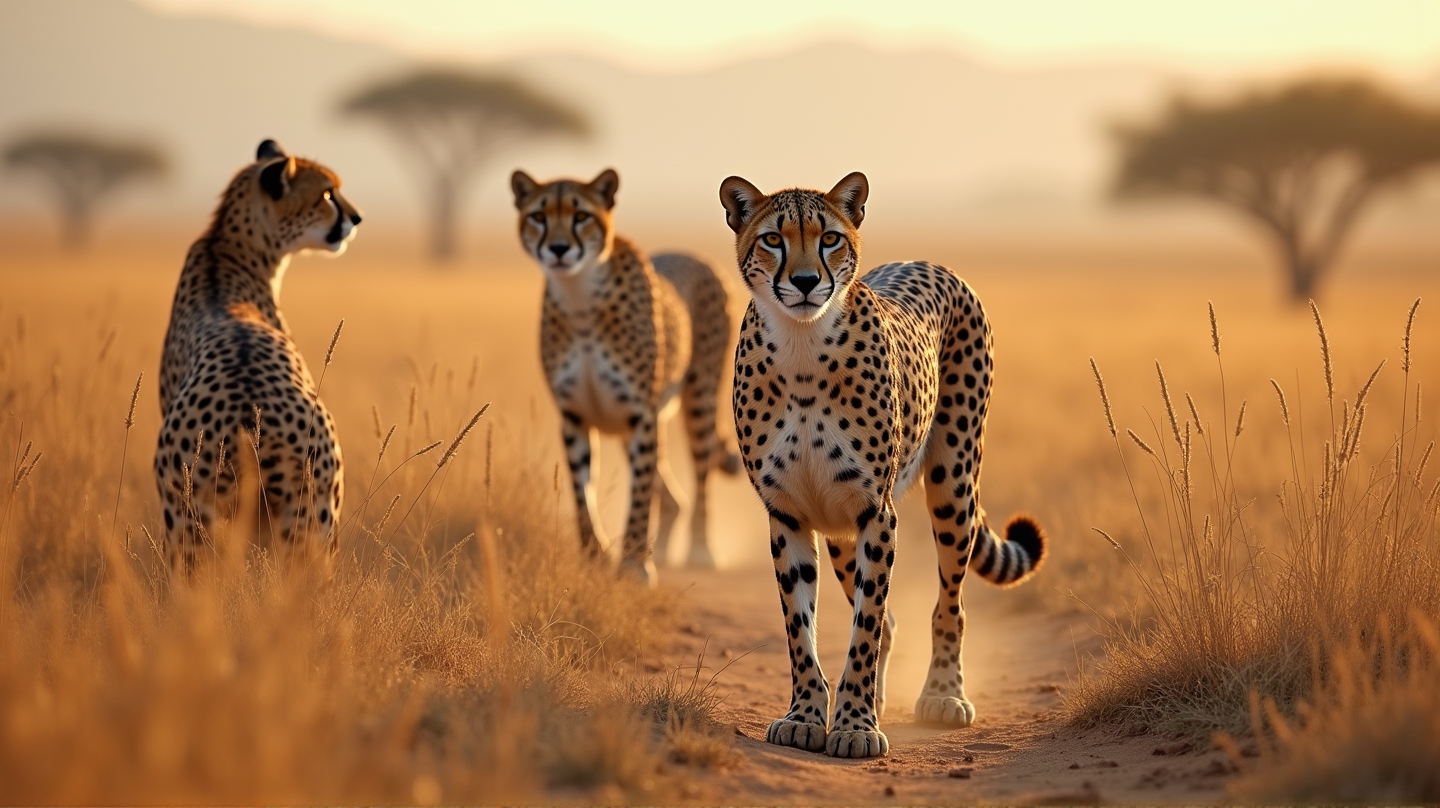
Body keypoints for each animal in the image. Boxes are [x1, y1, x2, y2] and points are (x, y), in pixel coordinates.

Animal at [154, 139, 362, 571]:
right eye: (327, 194)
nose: (357, 217)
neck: (228, 246)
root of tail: (247, 413)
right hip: (312, 518)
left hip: (193, 523)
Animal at [511, 167, 740, 584]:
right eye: (538, 216)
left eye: (580, 216)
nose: (558, 248)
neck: (580, 300)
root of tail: (695, 255)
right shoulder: (575, 416)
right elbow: (582, 494)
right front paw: (594, 559)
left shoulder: (640, 414)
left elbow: (639, 495)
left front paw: (633, 564)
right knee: (673, 495)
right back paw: (661, 548)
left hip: (698, 399)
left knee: (700, 476)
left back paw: (700, 549)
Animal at [719, 171, 1048, 758]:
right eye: (773, 239)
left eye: (829, 238)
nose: (806, 281)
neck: (802, 348)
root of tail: (928, 261)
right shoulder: (789, 514)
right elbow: (802, 629)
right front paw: (807, 715)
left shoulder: (876, 512)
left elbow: (865, 626)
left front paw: (854, 726)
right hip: (839, 529)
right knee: (888, 619)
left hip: (952, 483)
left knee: (948, 605)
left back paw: (942, 694)